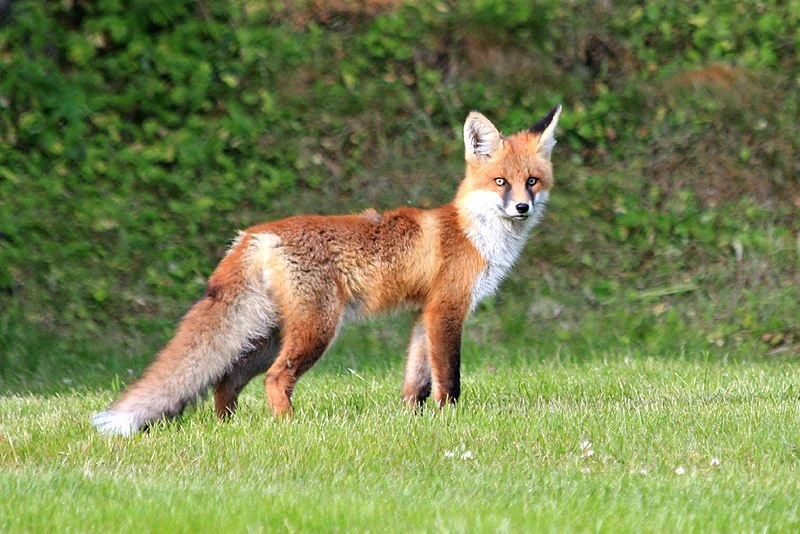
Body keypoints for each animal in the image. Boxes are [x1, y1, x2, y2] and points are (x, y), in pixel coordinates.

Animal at [92, 105, 562, 436]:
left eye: (532, 181)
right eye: (500, 182)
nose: (522, 207)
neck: (474, 231)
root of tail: (257, 233)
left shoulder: (421, 314)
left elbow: (416, 383)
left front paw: (413, 421)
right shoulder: (446, 310)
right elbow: (449, 379)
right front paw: (450, 420)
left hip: (268, 336)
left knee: (224, 381)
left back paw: (231, 429)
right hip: (315, 330)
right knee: (274, 379)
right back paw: (288, 427)